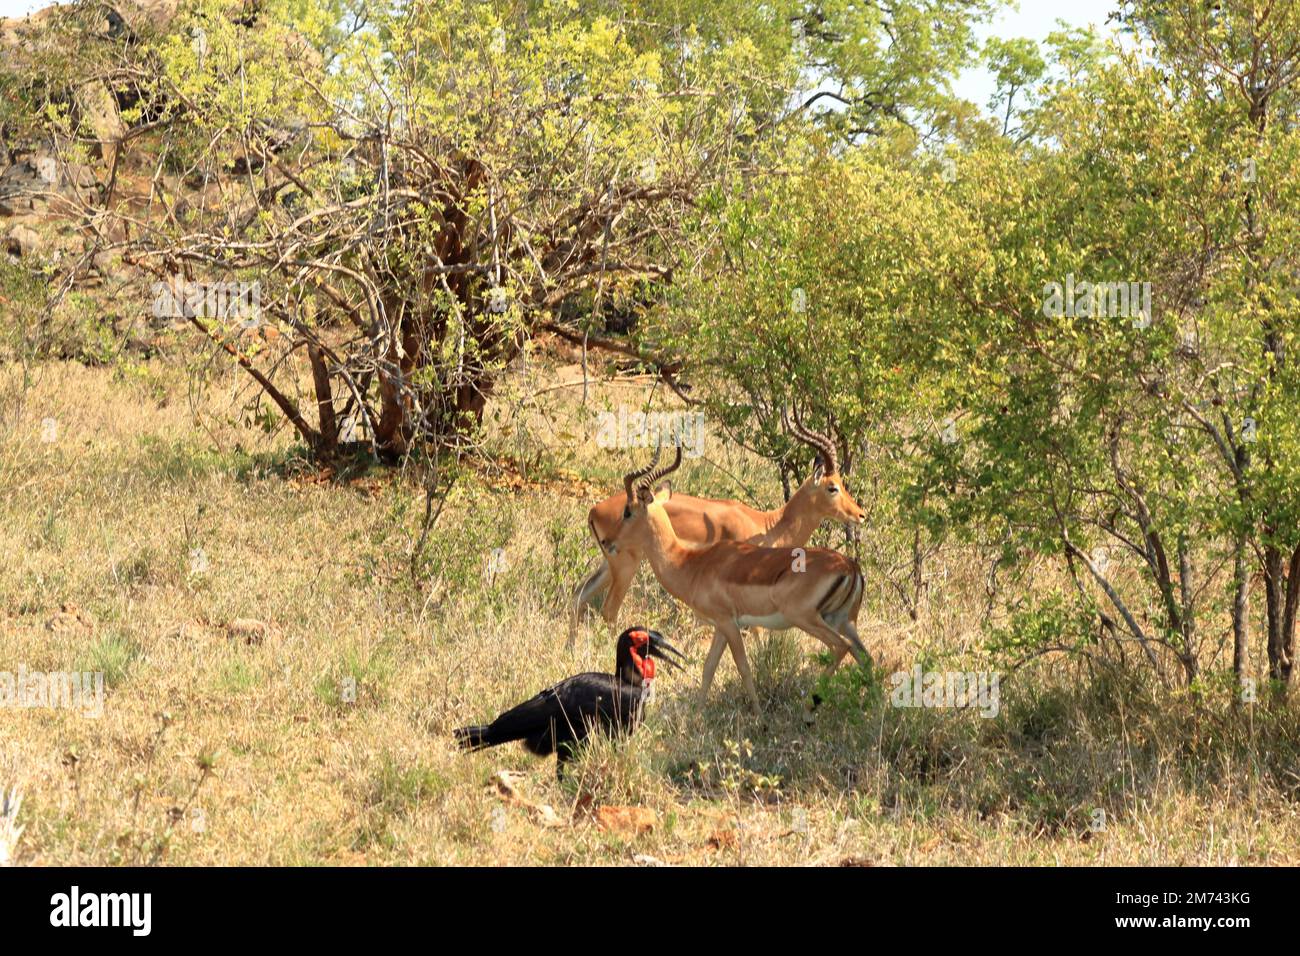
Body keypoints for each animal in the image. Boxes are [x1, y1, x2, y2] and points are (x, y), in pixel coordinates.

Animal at [569, 411, 866, 646]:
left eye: (841, 482)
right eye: (832, 487)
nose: (861, 515)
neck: (769, 525)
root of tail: (594, 510)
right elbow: (755, 632)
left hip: (610, 565)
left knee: (580, 595)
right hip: (625, 567)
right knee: (608, 610)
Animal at [611, 444, 873, 711]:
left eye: (628, 511)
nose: (610, 543)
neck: (691, 563)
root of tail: (850, 566)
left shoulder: (730, 623)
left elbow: (744, 667)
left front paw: (758, 714)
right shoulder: (720, 626)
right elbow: (709, 668)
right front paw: (698, 712)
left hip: (807, 618)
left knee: (841, 647)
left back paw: (809, 707)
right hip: (843, 620)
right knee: (866, 657)